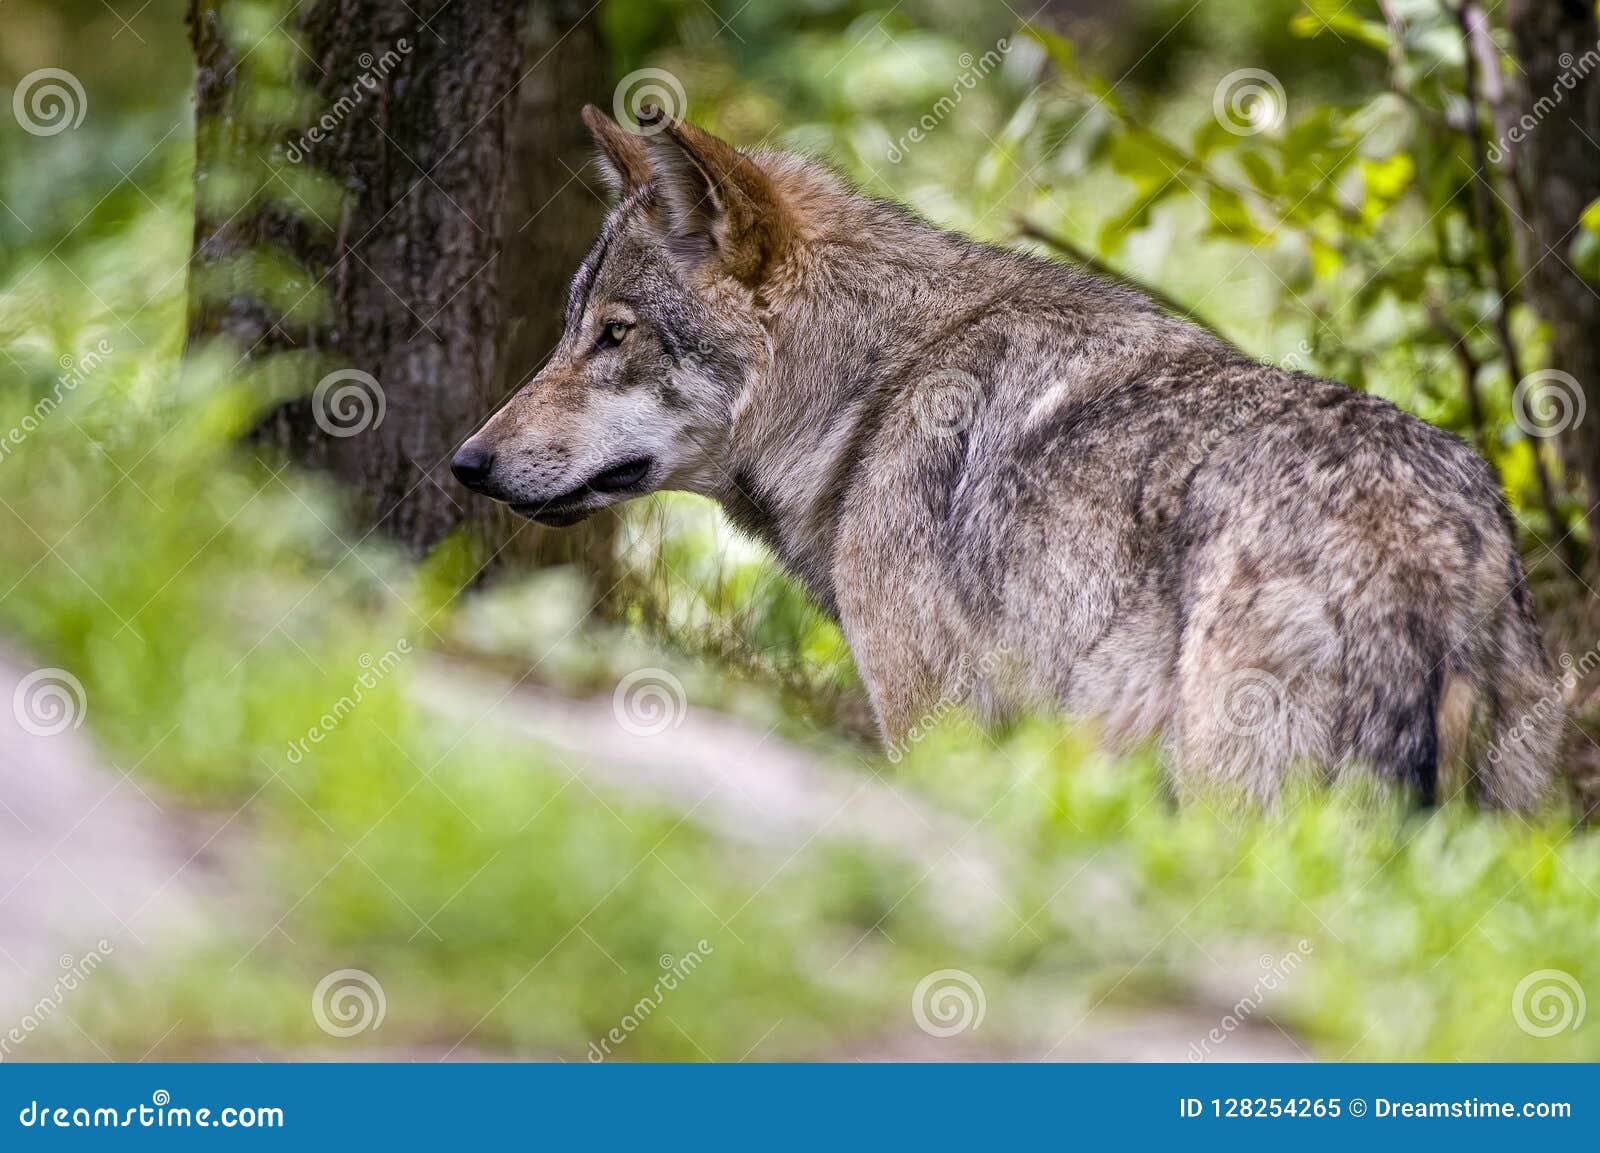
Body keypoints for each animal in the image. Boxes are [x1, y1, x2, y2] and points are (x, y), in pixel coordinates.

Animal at [452, 104, 1562, 809]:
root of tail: (1426, 540)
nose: (466, 461)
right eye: (571, 329)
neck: (870, 394)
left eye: (614, 336)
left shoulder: (930, 729)